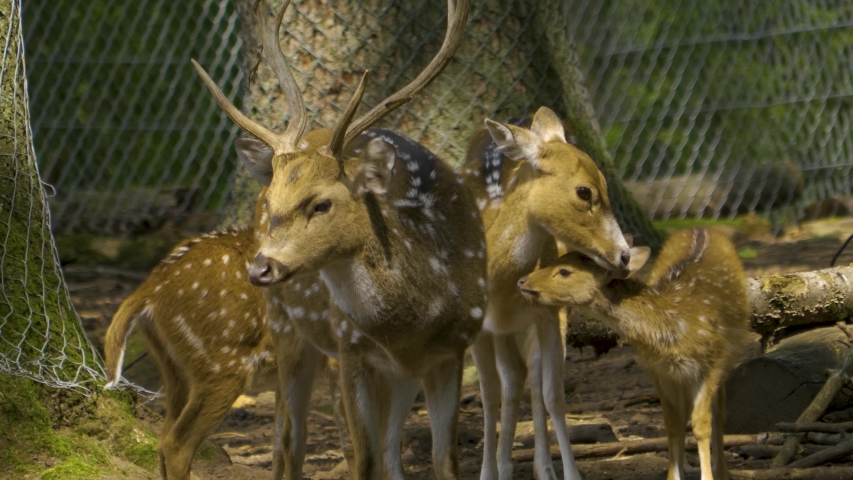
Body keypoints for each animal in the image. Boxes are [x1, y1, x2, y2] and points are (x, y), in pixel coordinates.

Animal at [192, 0, 475, 478]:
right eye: (276, 201)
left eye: (322, 203)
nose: (259, 266)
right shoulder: (352, 349)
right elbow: (365, 457)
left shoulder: (448, 351)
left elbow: (439, 459)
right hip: (287, 325)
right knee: (292, 436)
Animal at [462, 110, 634, 480]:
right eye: (584, 191)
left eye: (606, 183)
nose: (625, 255)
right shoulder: (477, 323)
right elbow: (489, 394)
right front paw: (487, 473)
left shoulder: (550, 312)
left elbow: (552, 393)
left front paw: (568, 473)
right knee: (512, 379)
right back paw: (504, 465)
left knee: (528, 377)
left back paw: (539, 467)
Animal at [518, 228, 750, 480]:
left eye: (564, 271)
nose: (522, 280)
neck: (676, 330)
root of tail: (700, 228)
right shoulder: (657, 370)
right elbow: (672, 424)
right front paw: (673, 475)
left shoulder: (713, 361)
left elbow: (701, 424)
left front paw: (708, 475)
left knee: (719, 412)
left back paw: (722, 471)